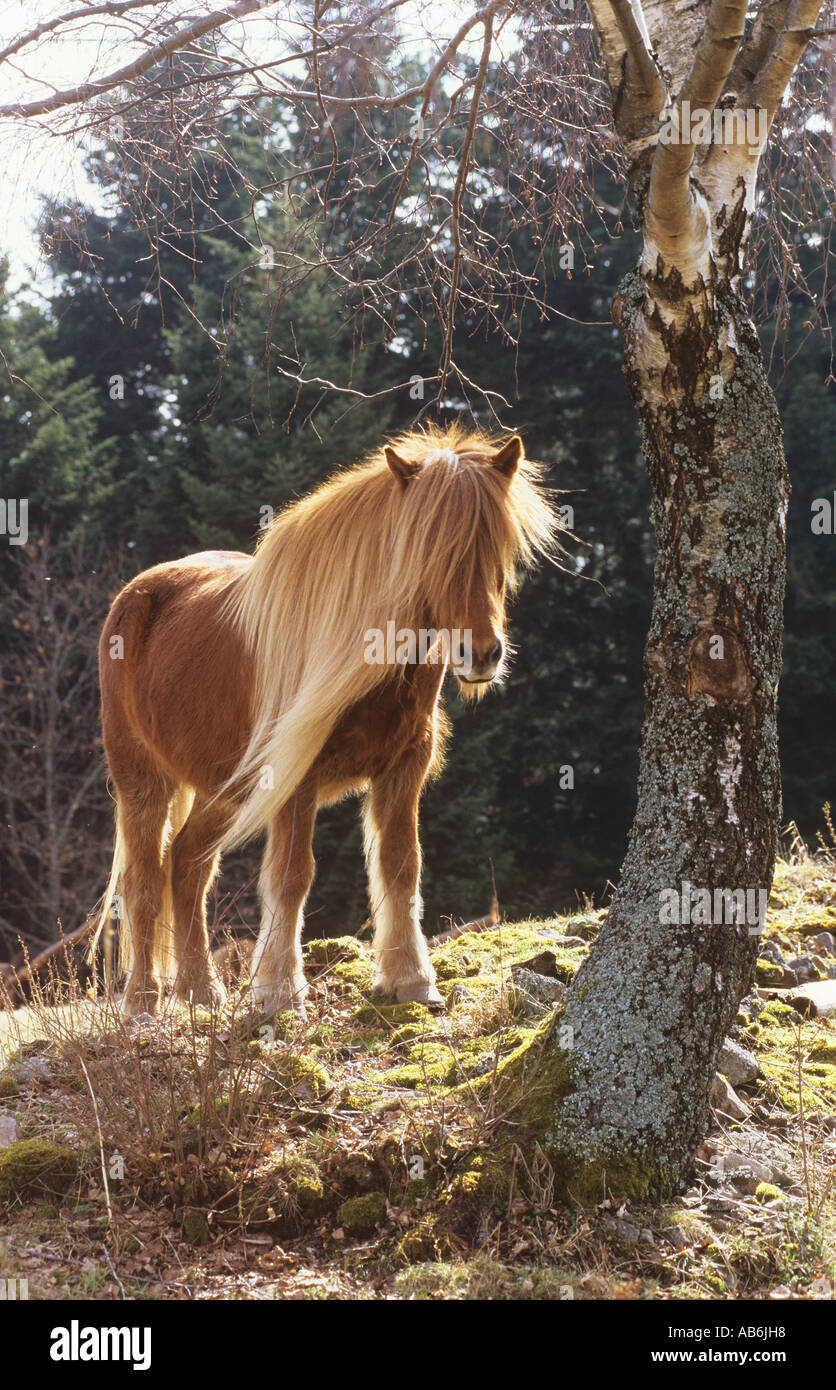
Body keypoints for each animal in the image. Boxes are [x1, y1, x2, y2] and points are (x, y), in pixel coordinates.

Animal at [91, 426, 558, 1018]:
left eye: (501, 546)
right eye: (429, 552)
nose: (480, 654)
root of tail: (138, 593)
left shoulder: (403, 770)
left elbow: (401, 867)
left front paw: (411, 980)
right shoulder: (296, 778)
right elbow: (293, 876)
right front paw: (278, 992)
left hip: (225, 790)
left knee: (187, 864)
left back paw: (201, 992)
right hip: (142, 780)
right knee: (144, 881)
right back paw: (143, 1003)